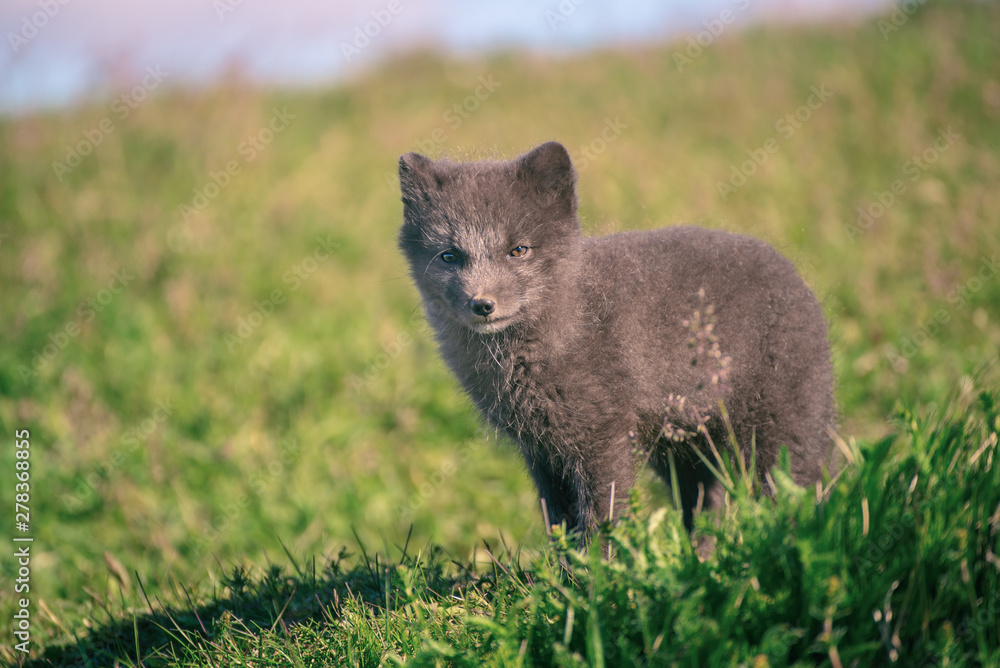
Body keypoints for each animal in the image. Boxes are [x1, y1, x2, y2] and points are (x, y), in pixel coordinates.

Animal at [397, 141, 835, 536]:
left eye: (518, 250)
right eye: (449, 256)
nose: (482, 304)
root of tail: (796, 277)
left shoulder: (602, 440)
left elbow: (600, 520)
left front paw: (598, 571)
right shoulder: (542, 450)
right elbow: (559, 524)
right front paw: (565, 573)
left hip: (777, 432)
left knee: (803, 493)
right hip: (685, 446)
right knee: (706, 508)